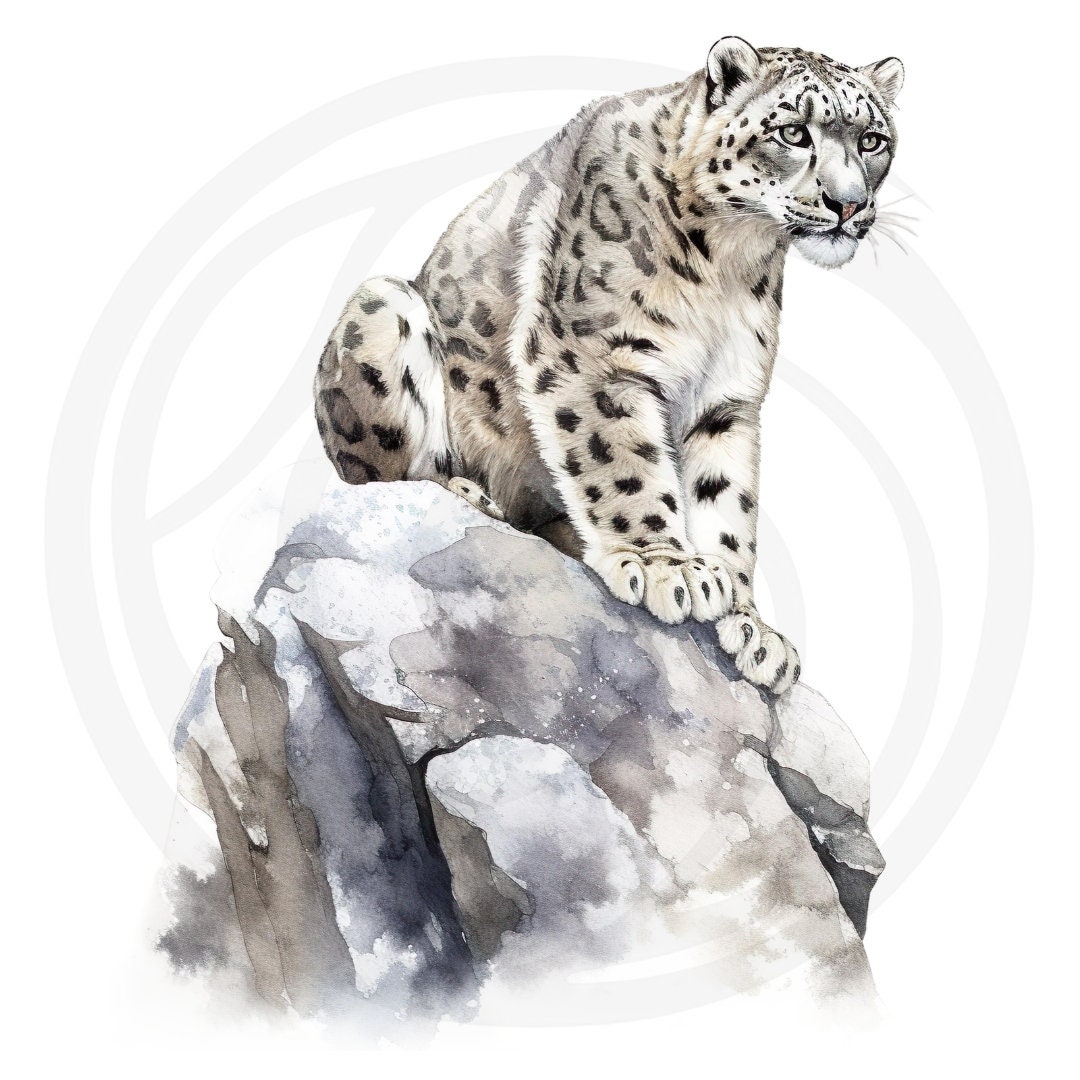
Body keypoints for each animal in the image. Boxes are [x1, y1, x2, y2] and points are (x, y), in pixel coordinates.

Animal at [313, 38, 904, 695]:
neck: (730, 265)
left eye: (873, 140)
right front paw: (664, 567)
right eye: (794, 132)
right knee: (377, 476)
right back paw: (467, 490)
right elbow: (624, 462)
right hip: (385, 310)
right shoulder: (594, 358)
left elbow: (728, 504)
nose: (849, 204)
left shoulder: (727, 399)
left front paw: (746, 622)